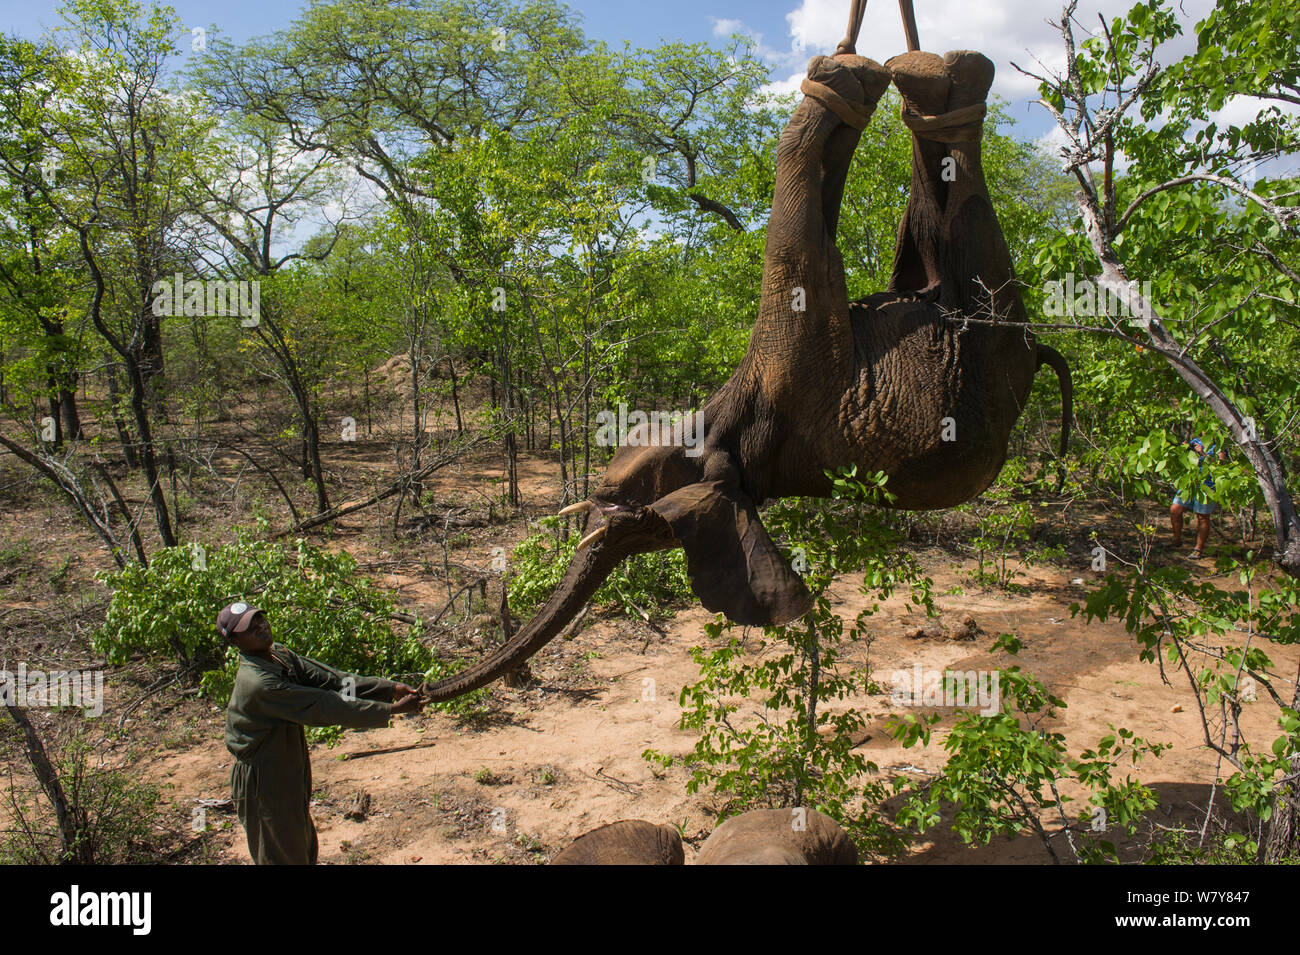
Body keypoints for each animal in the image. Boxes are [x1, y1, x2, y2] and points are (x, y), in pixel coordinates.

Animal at [421, 4, 1072, 703]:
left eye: (627, 519)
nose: (406, 698)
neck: (734, 419)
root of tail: (1037, 350)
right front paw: (850, 80)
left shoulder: (797, 362)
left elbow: (795, 238)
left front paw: (842, 77)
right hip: (985, 323)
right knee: (940, 220)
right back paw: (938, 81)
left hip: (992, 322)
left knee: (954, 217)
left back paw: (923, 78)